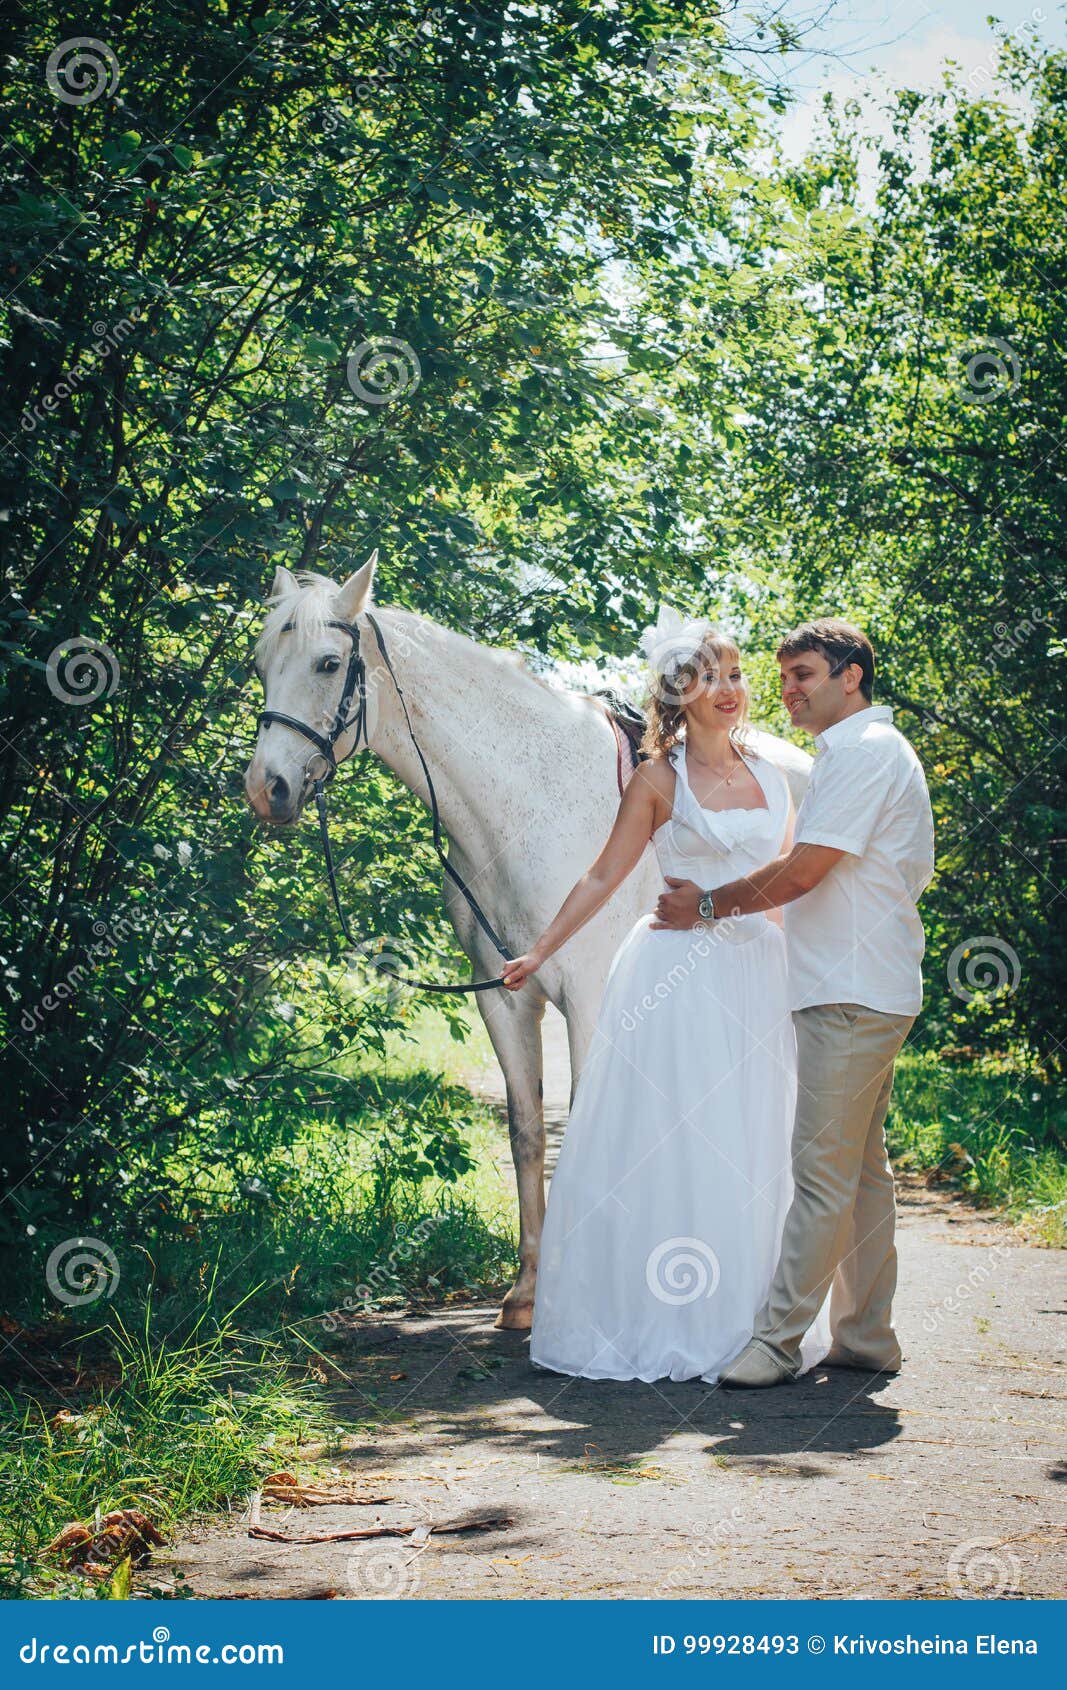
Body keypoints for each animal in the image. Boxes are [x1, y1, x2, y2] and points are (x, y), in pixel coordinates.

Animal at [244, 553, 813, 1329]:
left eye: (329, 663)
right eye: (259, 663)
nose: (264, 787)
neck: (524, 806)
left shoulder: (592, 998)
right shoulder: (505, 1000)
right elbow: (528, 1133)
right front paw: (526, 1292)